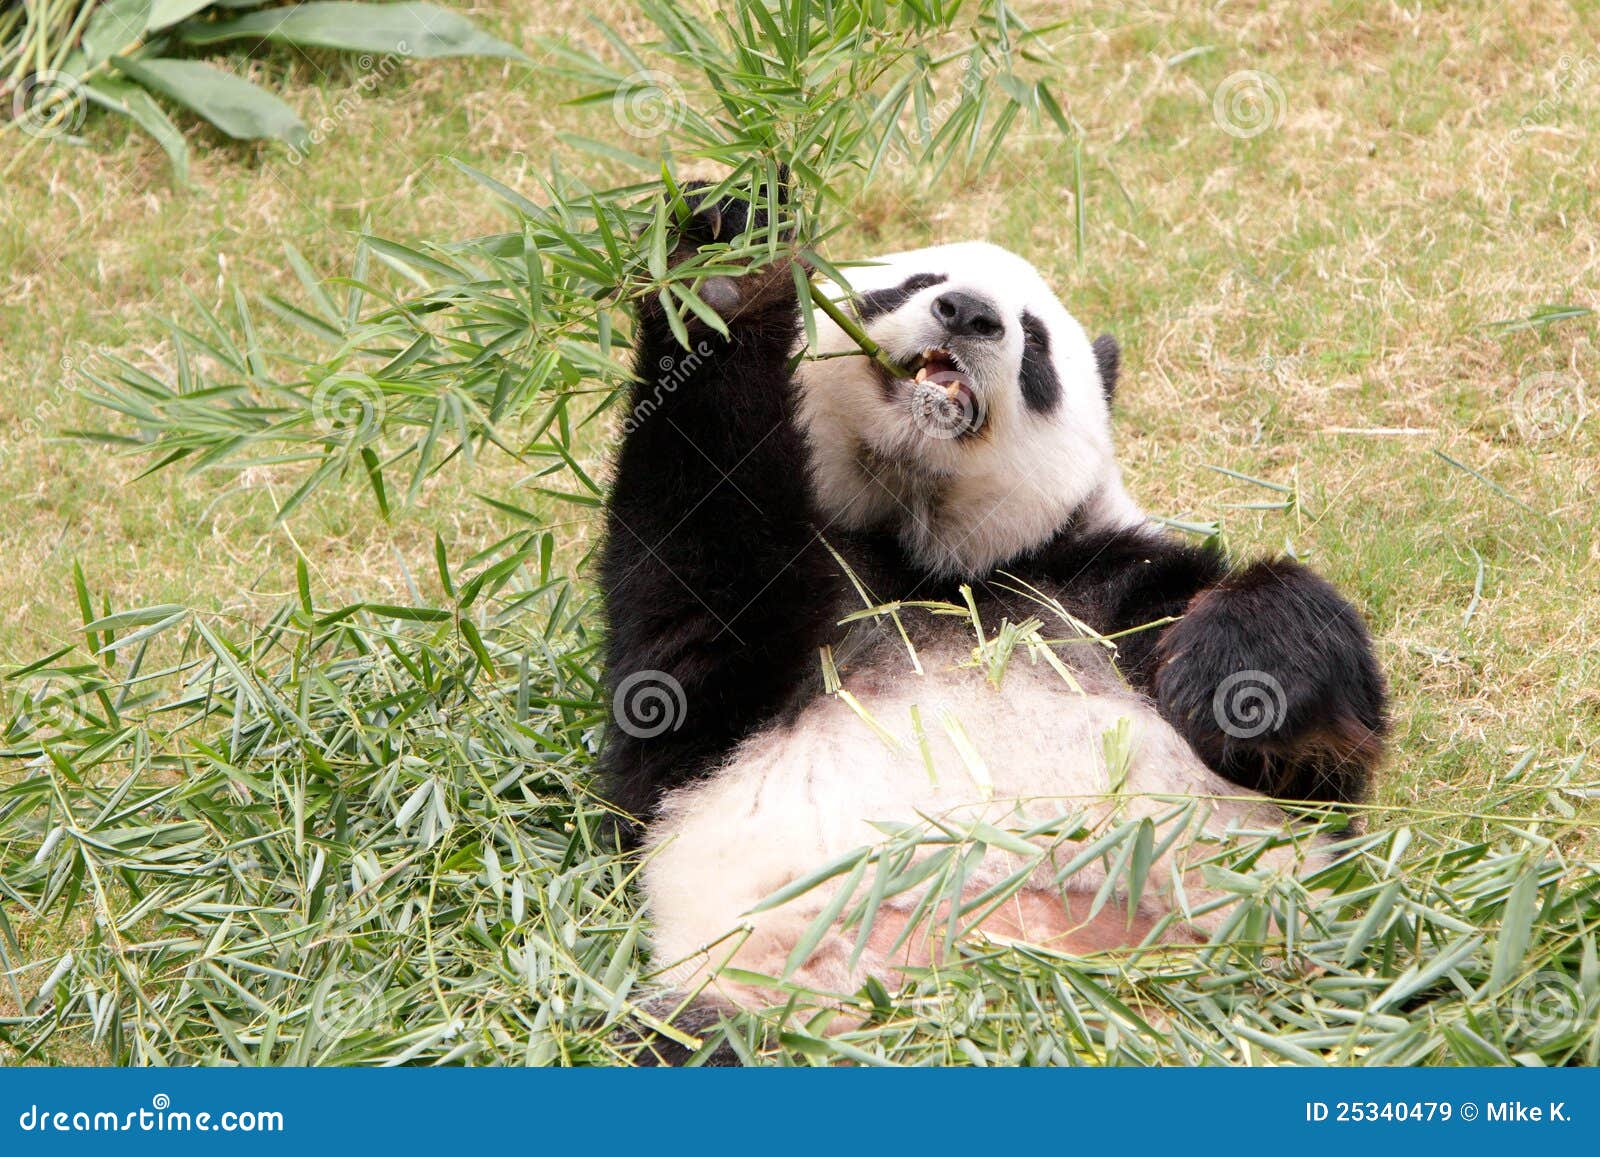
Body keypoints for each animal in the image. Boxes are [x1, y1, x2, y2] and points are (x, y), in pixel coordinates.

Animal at [598, 184, 1387, 1026]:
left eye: (1035, 340)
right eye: (916, 282)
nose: (970, 312)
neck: (935, 557)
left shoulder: (1100, 586)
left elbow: (1307, 761)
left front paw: (1235, 674)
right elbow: (692, 636)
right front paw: (728, 266)